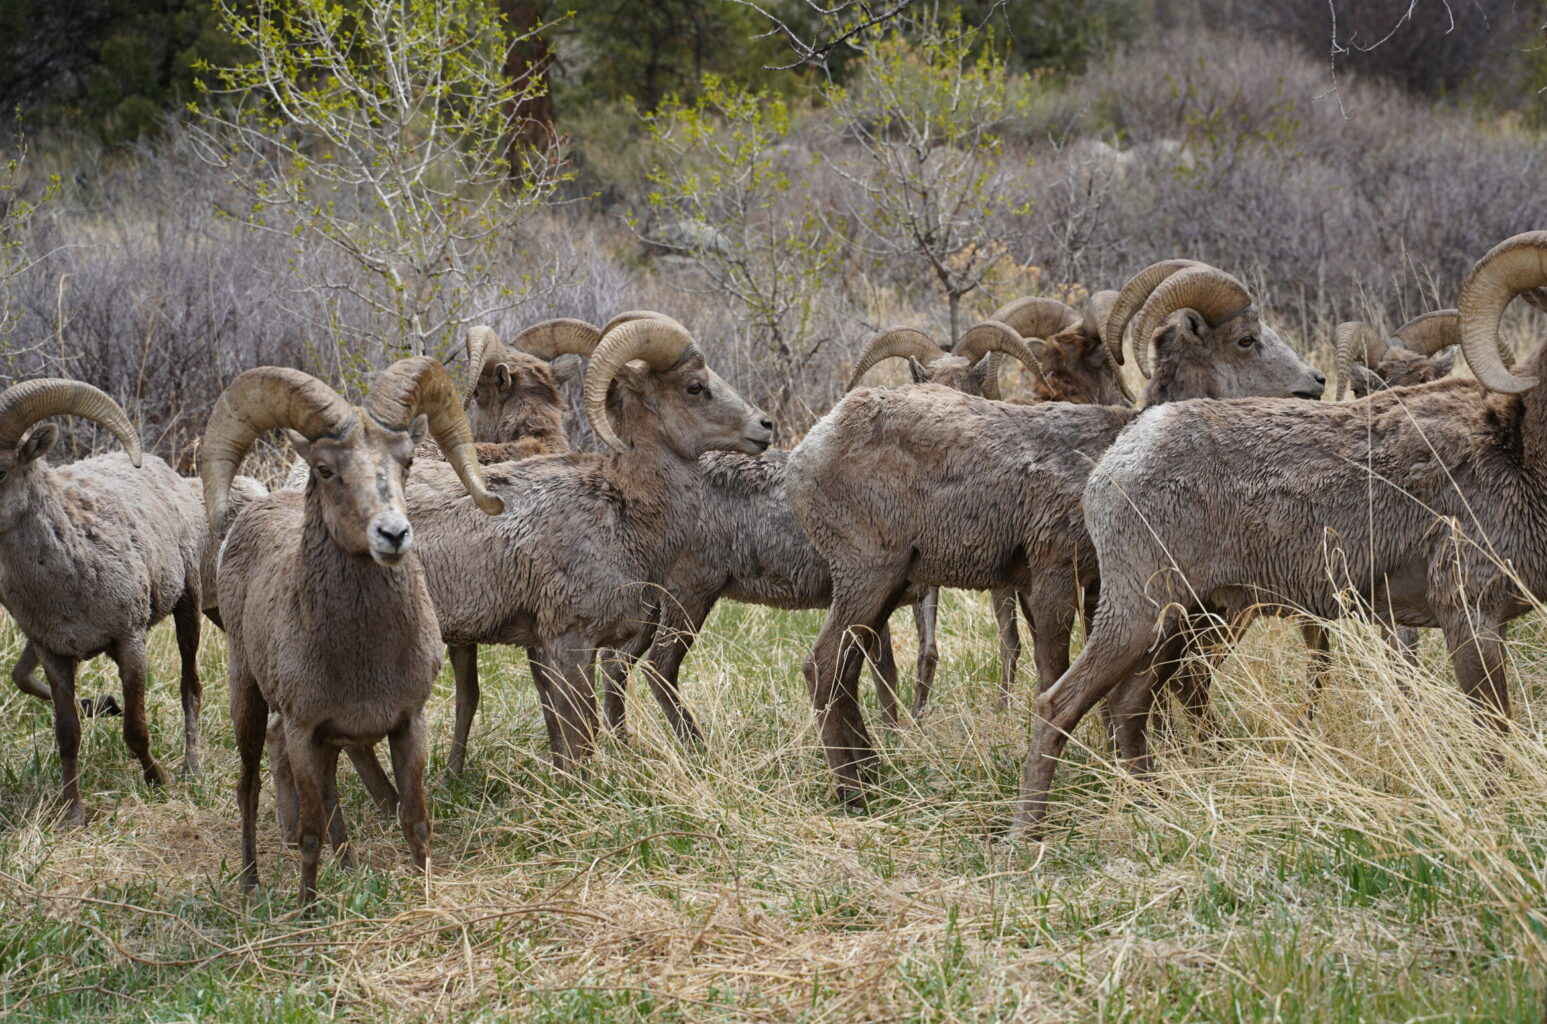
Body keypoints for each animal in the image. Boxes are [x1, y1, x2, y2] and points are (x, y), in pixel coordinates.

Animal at [203, 358, 502, 903]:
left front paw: (425, 895)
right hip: (247, 697)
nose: (393, 535)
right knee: (248, 787)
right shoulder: (304, 732)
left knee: (330, 794)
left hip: (328, 740)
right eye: (326, 470)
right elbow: (310, 832)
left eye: (407, 462)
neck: (365, 657)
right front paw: (307, 907)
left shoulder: (407, 724)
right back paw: (251, 883)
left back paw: (347, 865)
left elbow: (415, 820)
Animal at [786, 261, 1327, 805]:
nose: (1316, 385)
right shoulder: (1052, 578)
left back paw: (873, 774)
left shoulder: (1098, 588)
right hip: (869, 578)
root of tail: (810, 449)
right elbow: (1056, 671)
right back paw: (854, 792)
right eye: (1246, 339)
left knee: (847, 673)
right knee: (822, 667)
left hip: (885, 592)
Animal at [1015, 231, 1547, 836]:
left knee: (1130, 707)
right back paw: (1027, 837)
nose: (1314, 383)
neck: (1516, 452)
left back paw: (1156, 807)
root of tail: (1117, 461)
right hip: (1138, 616)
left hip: (1177, 625)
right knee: (1059, 706)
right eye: (1247, 339)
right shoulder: (1469, 619)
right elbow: (1493, 731)